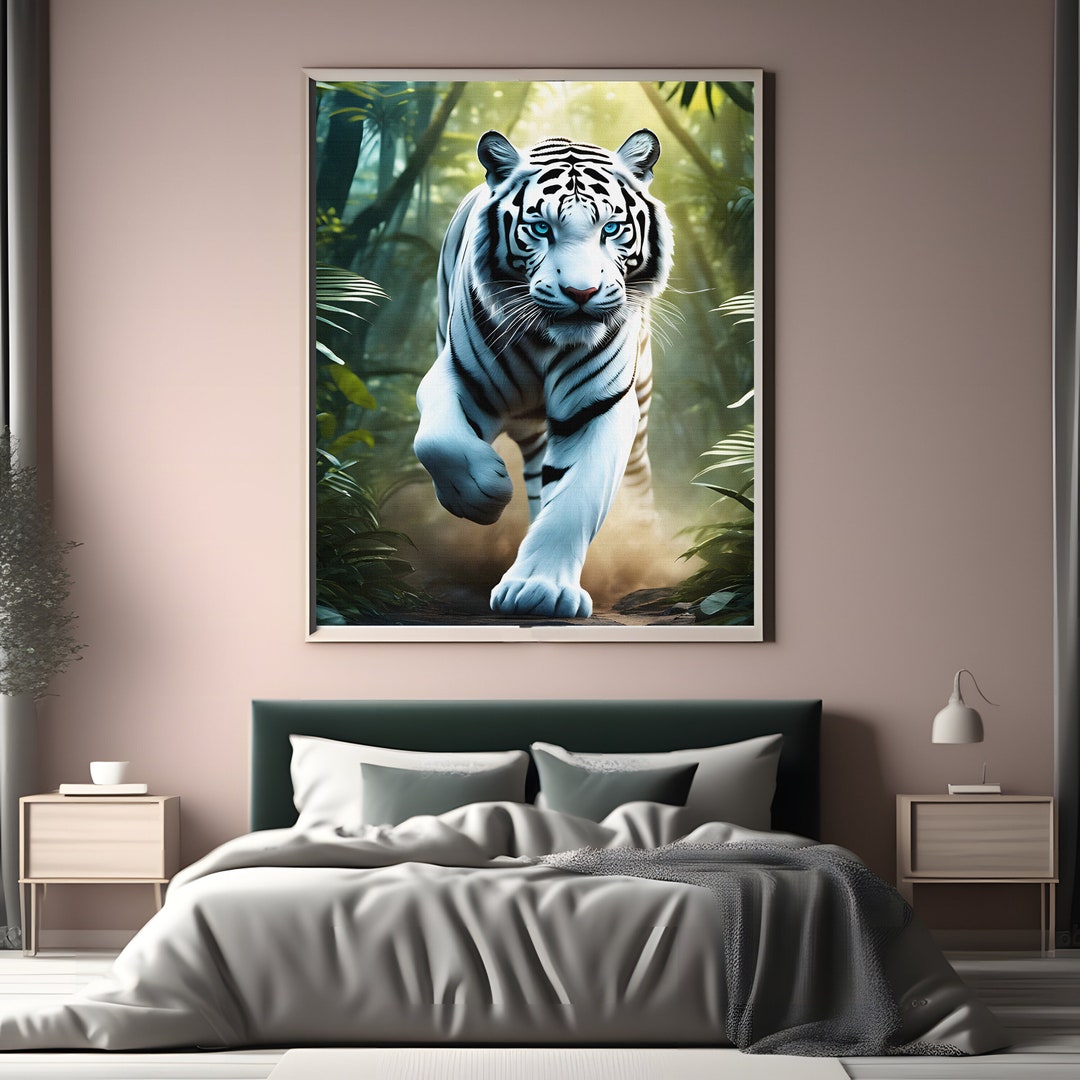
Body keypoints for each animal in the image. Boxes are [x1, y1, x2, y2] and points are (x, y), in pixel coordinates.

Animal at [413, 128, 673, 619]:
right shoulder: (454, 372)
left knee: (634, 486)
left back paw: (642, 551)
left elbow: (575, 495)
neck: (544, 341)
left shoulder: (598, 406)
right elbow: (436, 440)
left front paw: (540, 589)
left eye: (611, 229)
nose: (581, 292)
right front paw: (482, 491)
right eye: (540, 229)